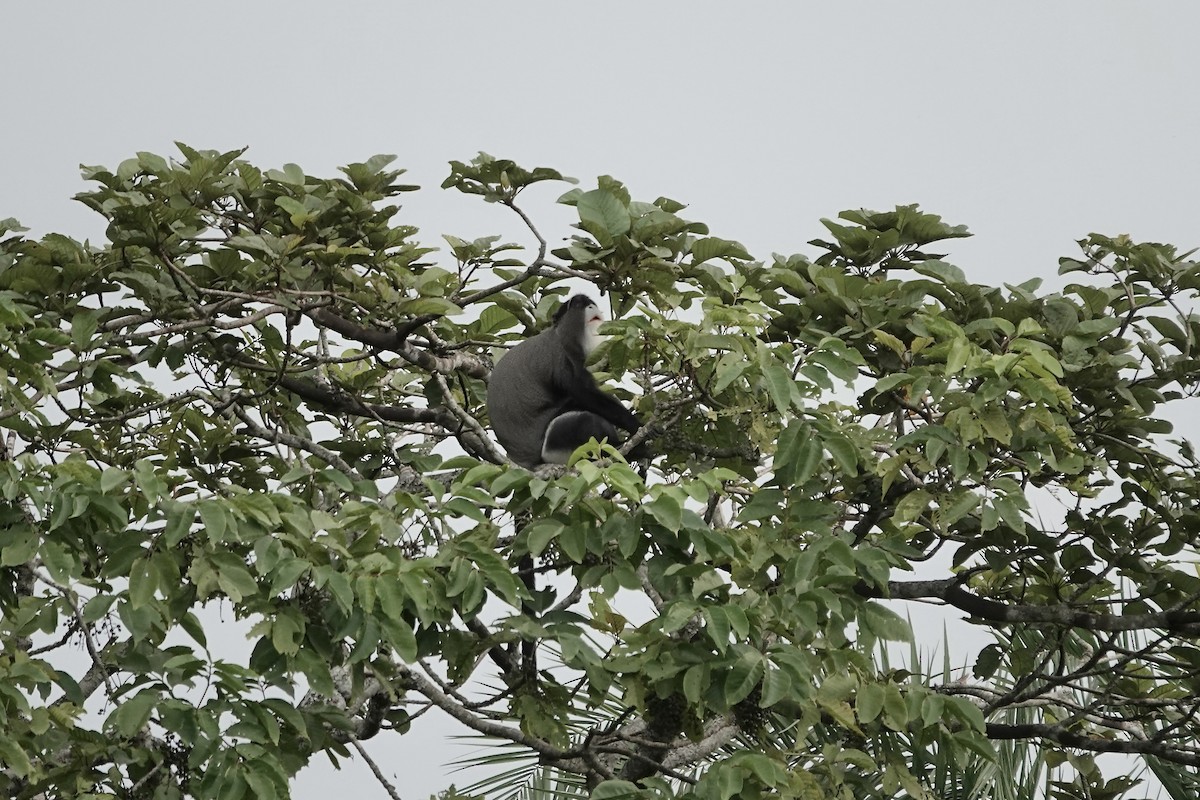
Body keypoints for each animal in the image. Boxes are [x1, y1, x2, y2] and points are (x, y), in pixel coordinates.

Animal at [487, 294, 646, 468]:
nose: (591, 307)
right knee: (582, 417)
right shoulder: (564, 357)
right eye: (578, 304)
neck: (559, 334)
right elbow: (585, 394)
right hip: (553, 448)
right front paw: (636, 426)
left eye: (591, 303)